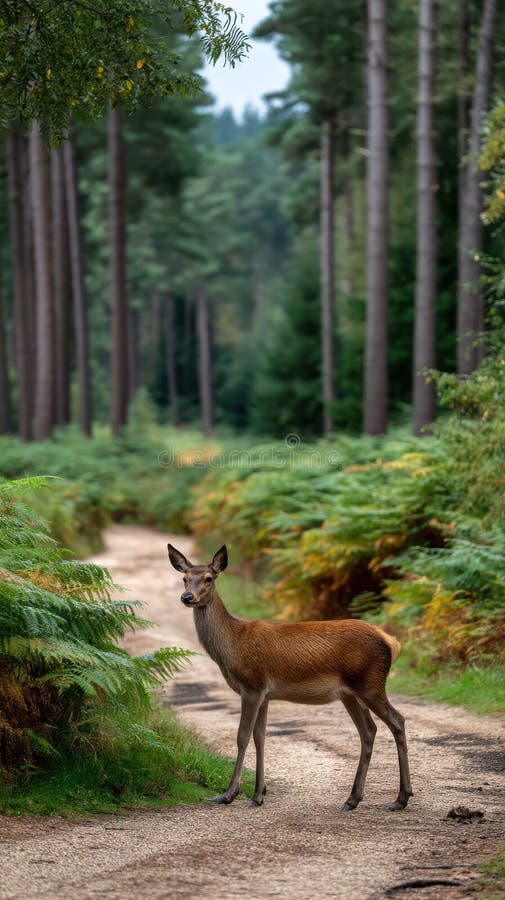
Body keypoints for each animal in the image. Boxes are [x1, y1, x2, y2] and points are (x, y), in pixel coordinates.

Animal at [168, 543, 412, 813]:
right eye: (185, 578)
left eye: (209, 579)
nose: (187, 597)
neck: (233, 645)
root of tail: (392, 643)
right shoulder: (264, 694)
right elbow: (260, 737)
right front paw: (259, 794)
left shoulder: (252, 686)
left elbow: (242, 736)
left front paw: (229, 794)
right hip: (351, 693)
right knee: (369, 730)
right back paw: (353, 799)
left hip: (371, 684)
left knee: (397, 721)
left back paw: (401, 798)